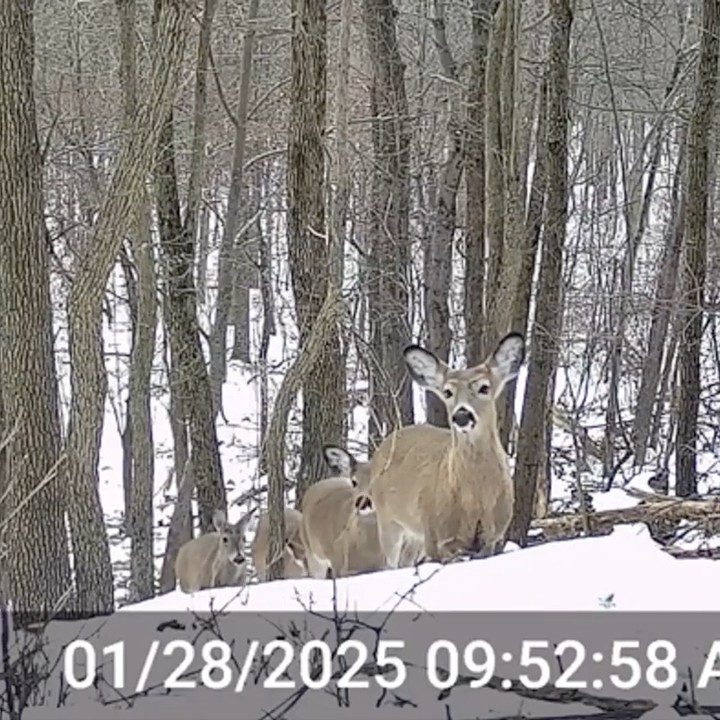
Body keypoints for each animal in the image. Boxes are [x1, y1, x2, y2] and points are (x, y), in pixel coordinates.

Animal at [369, 332, 526, 567]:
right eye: (448, 392)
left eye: (484, 388)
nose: (461, 415)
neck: (475, 499)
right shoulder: (438, 536)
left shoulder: (493, 537)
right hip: (389, 521)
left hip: (413, 535)